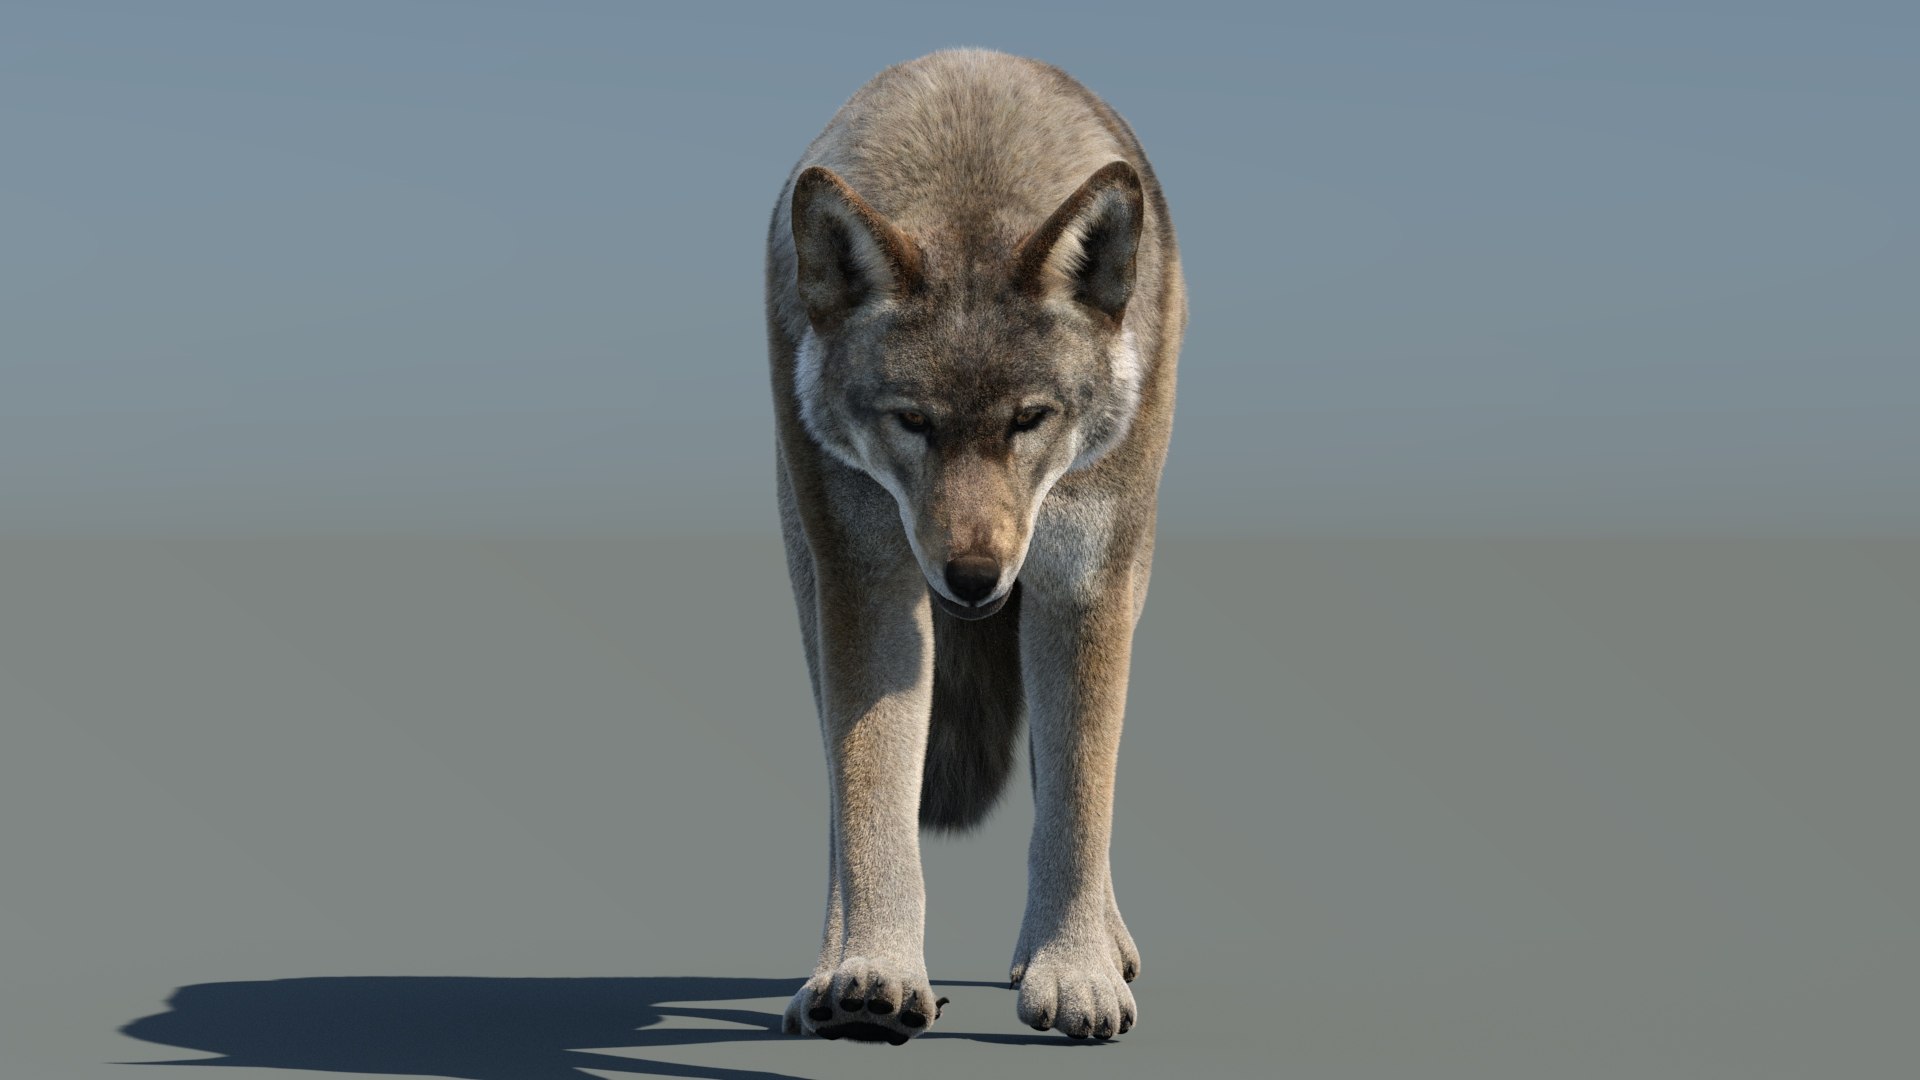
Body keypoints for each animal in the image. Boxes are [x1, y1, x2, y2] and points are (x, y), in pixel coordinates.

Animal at [765, 48, 1184, 1043]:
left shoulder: (1083, 585)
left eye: (1029, 419)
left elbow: (1078, 796)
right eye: (913, 422)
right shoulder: (868, 583)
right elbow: (872, 794)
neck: (971, 177)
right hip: (810, 576)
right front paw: (873, 972)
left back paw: (1098, 942)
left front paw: (1075, 975)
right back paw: (824, 973)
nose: (971, 574)